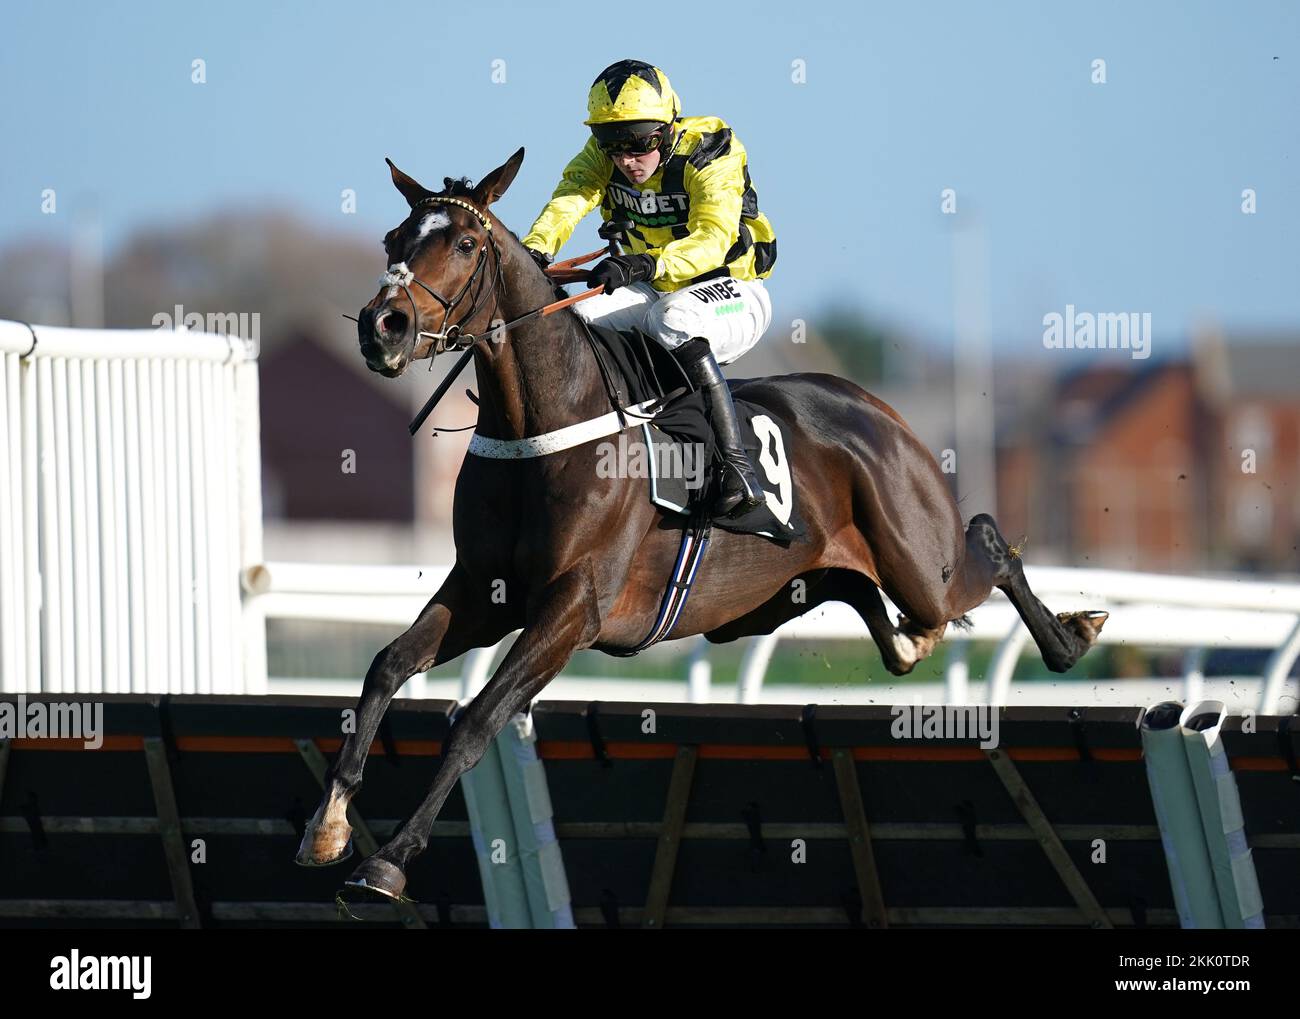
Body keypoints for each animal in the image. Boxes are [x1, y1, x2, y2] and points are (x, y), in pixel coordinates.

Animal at [295, 147, 1109, 901]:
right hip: (776, 597)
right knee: (887, 620)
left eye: (465, 243)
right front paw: (327, 827)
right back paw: (928, 638)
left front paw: (388, 861)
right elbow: (386, 665)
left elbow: (476, 718)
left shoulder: (575, 606)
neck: (547, 426)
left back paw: (1073, 633)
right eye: (394, 237)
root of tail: (879, 408)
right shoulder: (483, 591)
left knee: (986, 542)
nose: (383, 326)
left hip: (920, 561)